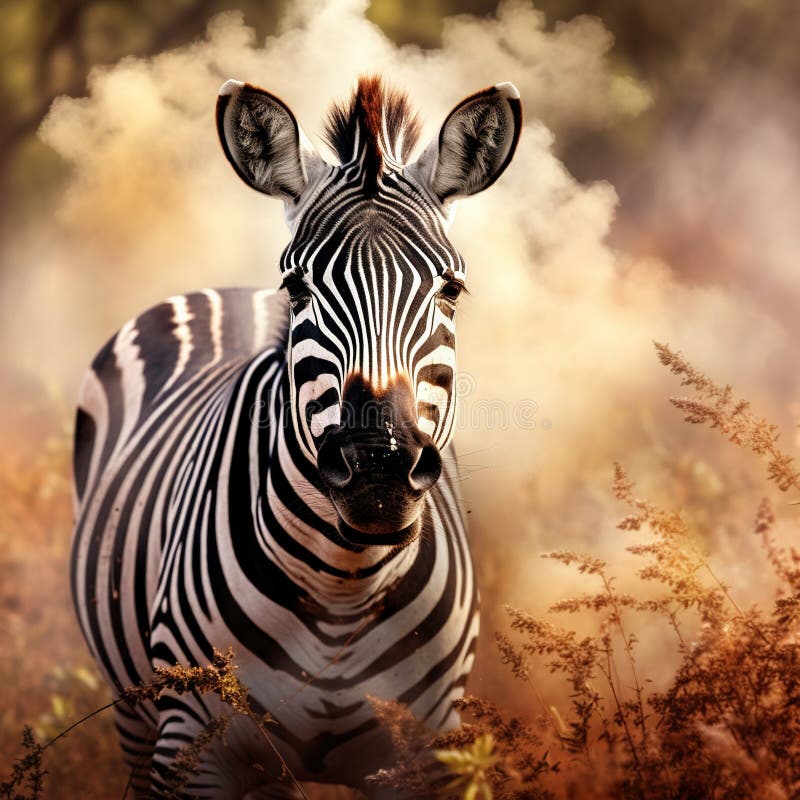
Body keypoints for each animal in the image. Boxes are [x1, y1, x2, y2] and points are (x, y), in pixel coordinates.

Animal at [71, 75, 521, 798]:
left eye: (451, 290)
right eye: (298, 286)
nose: (378, 466)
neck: (344, 587)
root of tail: (231, 293)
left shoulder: (426, 751)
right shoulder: (194, 746)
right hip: (137, 720)